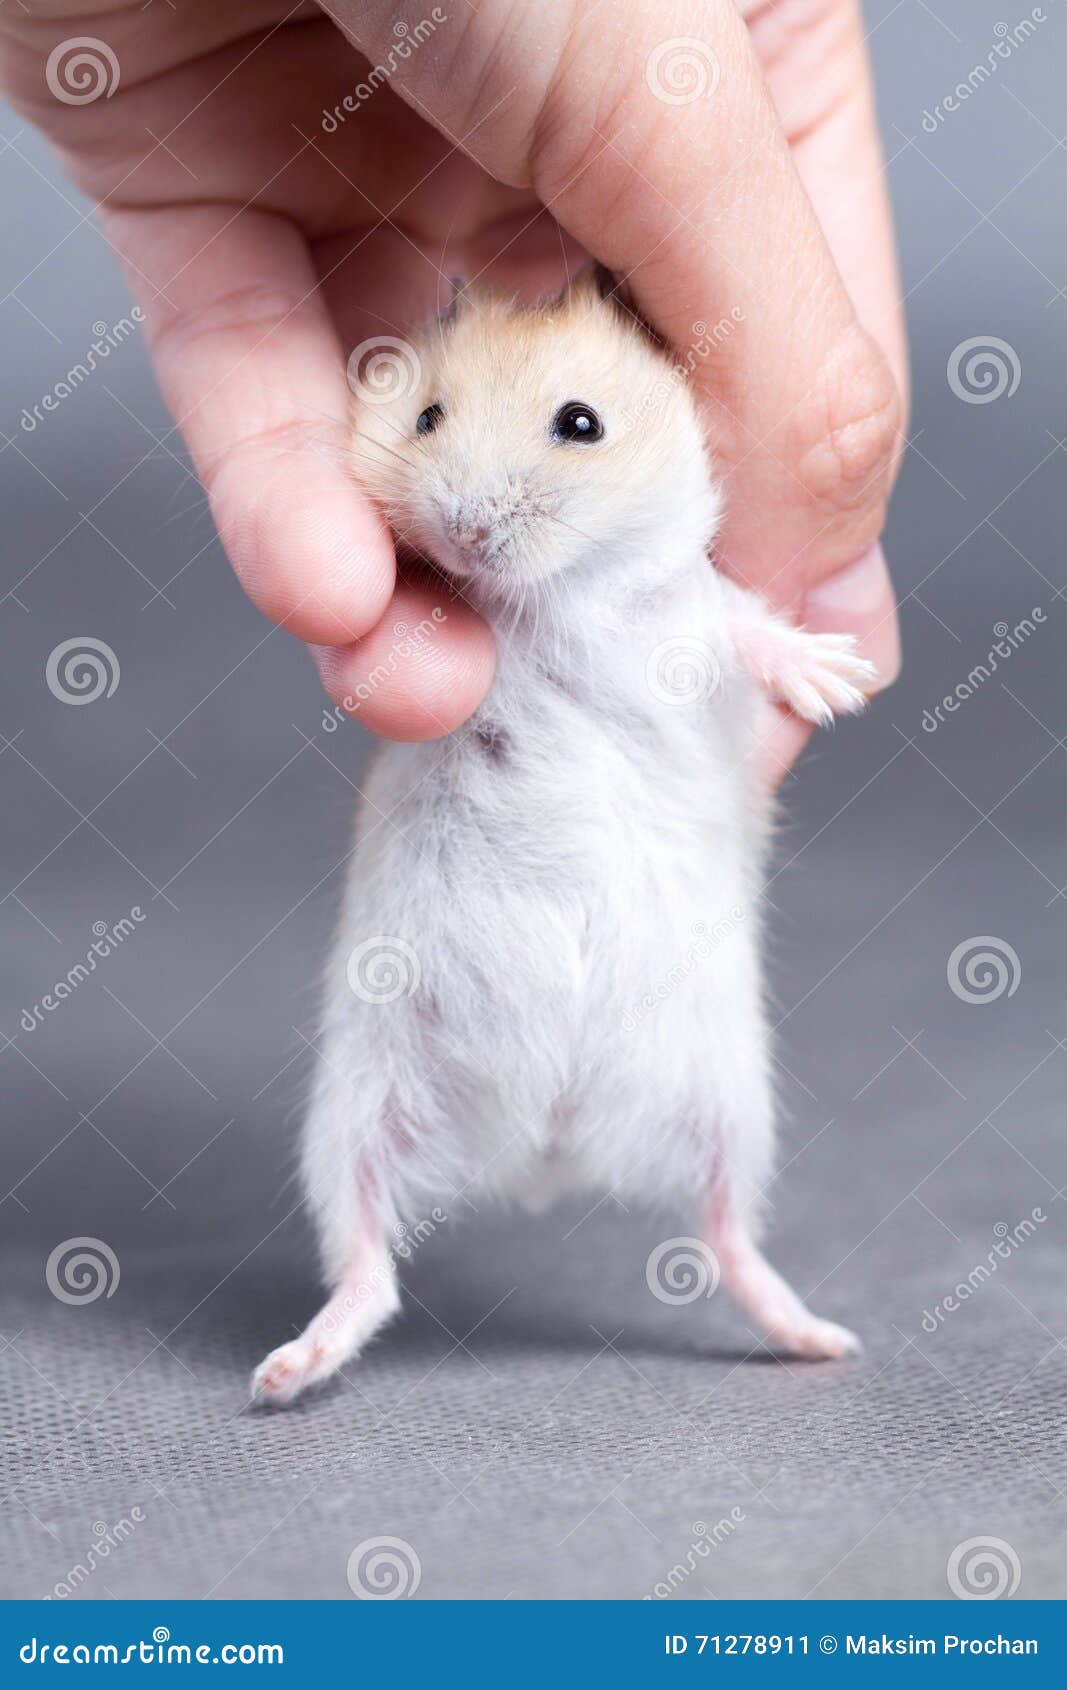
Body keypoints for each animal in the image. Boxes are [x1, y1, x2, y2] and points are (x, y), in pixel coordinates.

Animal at [251, 267, 877, 1404]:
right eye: (426, 416)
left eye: (579, 424)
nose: (461, 529)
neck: (549, 598)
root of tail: (545, 1151)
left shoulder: (694, 612)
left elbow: (745, 625)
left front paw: (835, 679)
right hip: (351, 1113)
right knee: (366, 1264)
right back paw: (283, 1374)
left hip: (731, 1106)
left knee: (728, 1238)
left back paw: (818, 1338)